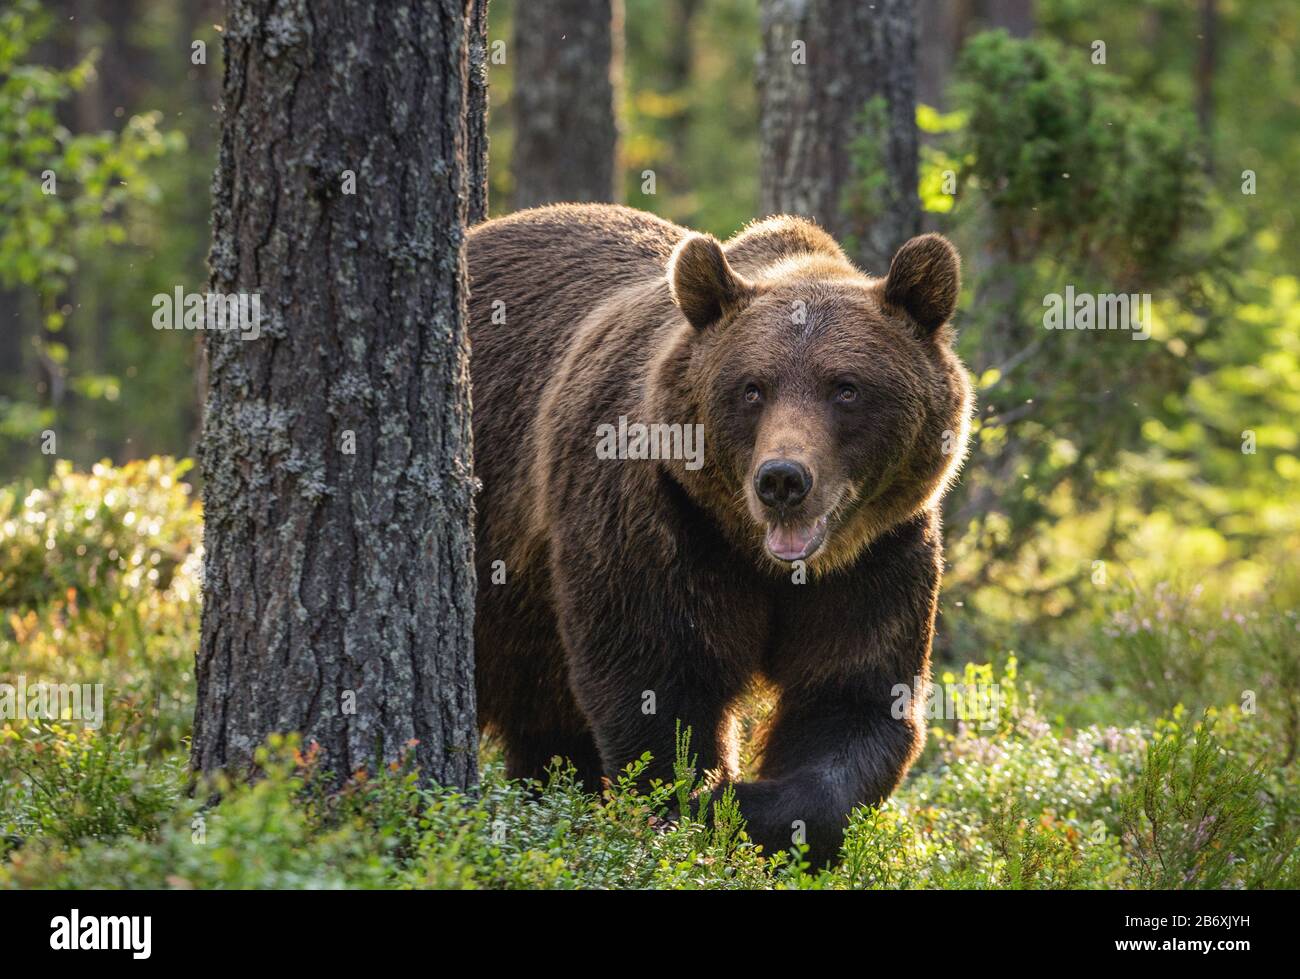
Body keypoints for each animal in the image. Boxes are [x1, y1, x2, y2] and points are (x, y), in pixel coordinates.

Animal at [468, 203, 972, 867]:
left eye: (846, 387)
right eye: (753, 388)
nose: (783, 479)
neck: (763, 561)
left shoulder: (880, 552)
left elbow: (853, 697)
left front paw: (754, 807)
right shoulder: (658, 518)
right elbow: (658, 688)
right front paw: (698, 802)